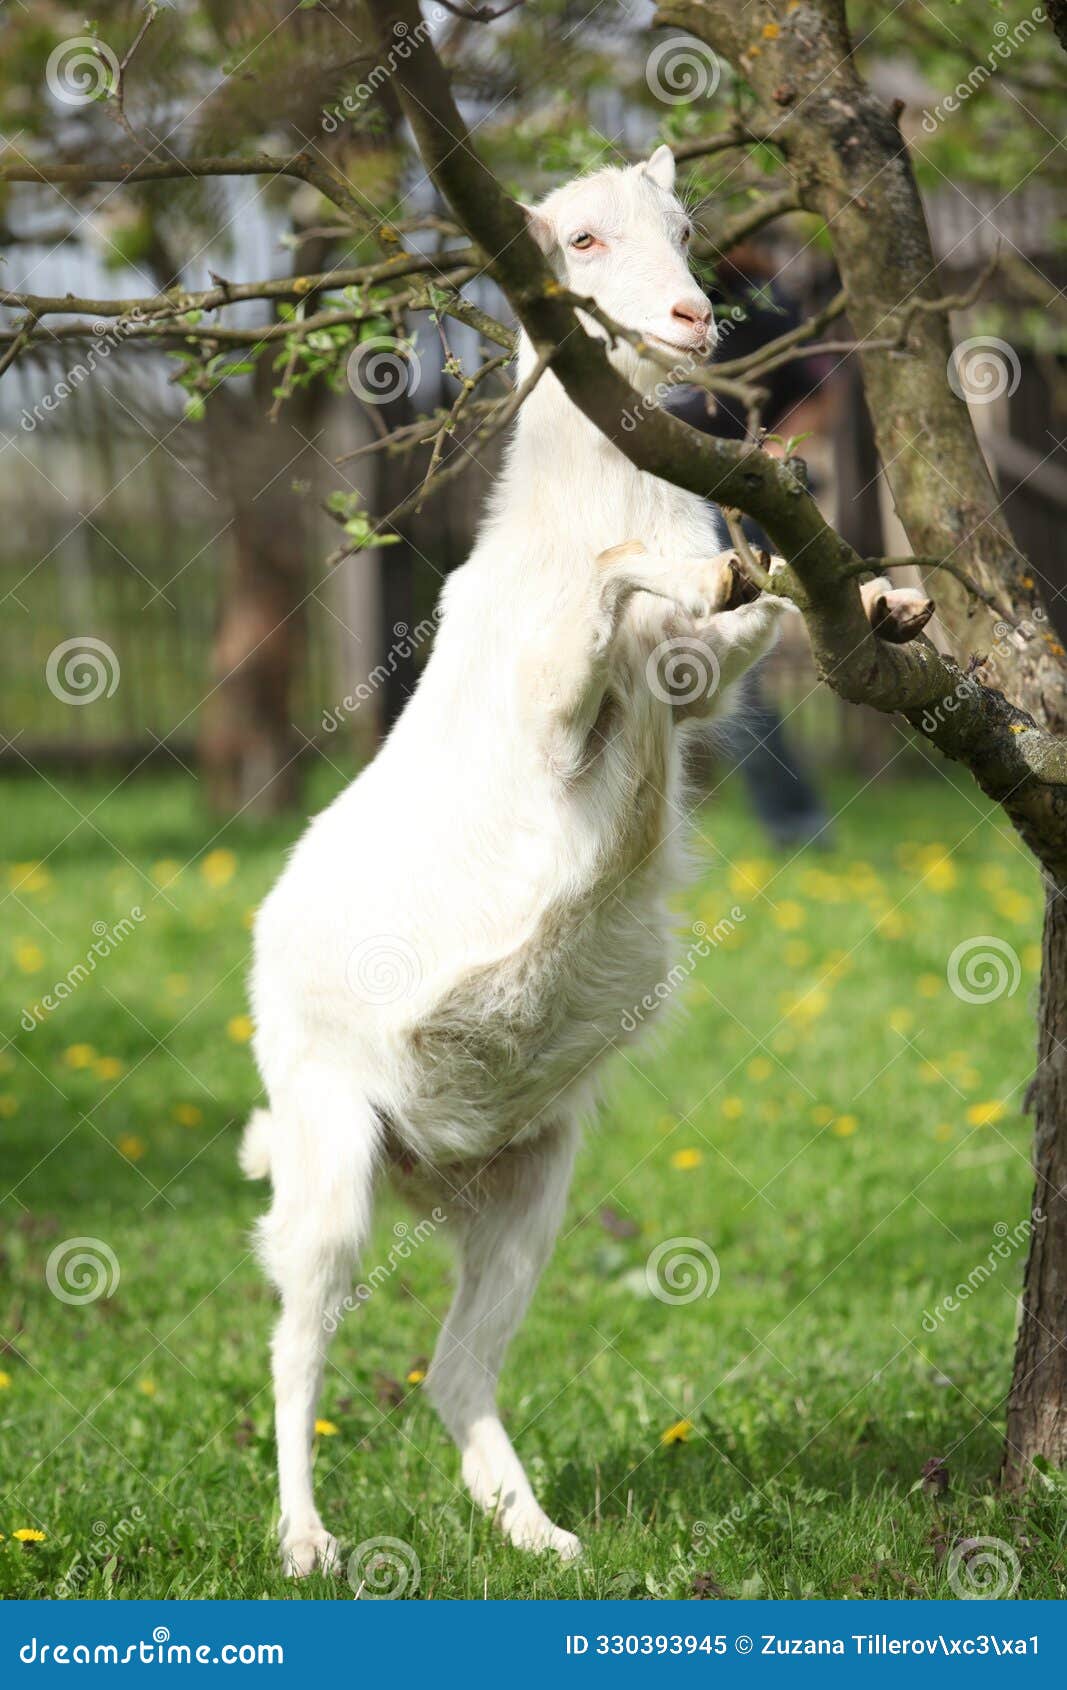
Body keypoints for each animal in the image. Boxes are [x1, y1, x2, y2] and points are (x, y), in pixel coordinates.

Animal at [241, 147, 928, 1575]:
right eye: (581, 241)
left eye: (683, 226)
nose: (690, 319)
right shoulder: (558, 723)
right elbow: (604, 614)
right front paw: (689, 576)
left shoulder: (698, 695)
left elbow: (752, 627)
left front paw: (881, 598)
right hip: (329, 1150)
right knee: (294, 1340)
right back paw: (308, 1542)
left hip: (531, 1180)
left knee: (454, 1369)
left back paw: (540, 1537)